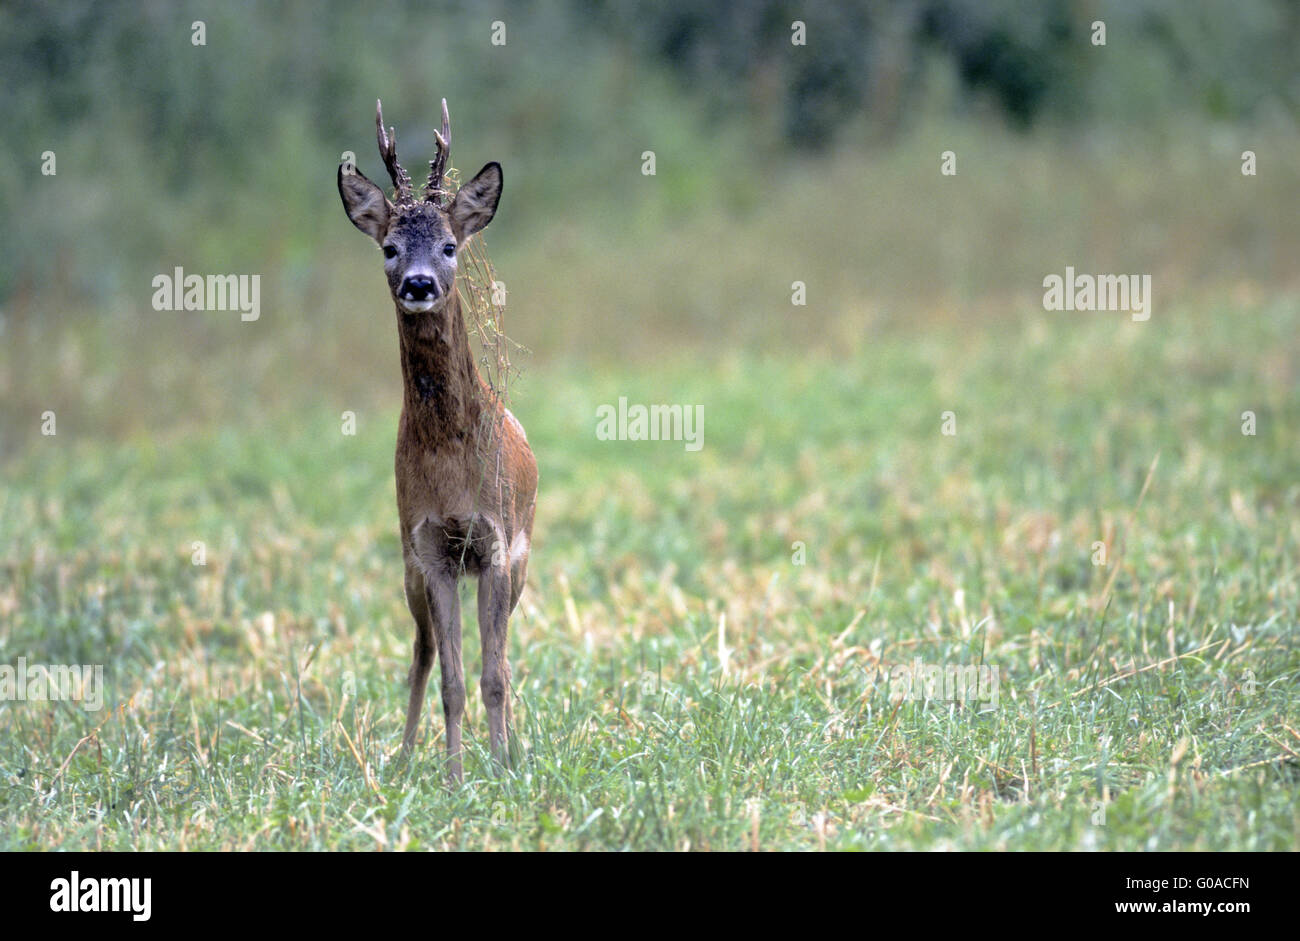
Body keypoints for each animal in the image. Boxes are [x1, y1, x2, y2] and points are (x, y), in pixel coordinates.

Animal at [337, 99, 537, 783]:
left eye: (451, 245)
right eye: (390, 247)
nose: (420, 284)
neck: (452, 464)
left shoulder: (495, 542)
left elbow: (493, 674)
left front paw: (502, 769)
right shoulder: (430, 549)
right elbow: (451, 677)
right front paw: (454, 778)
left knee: (502, 655)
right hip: (407, 572)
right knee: (422, 652)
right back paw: (401, 758)